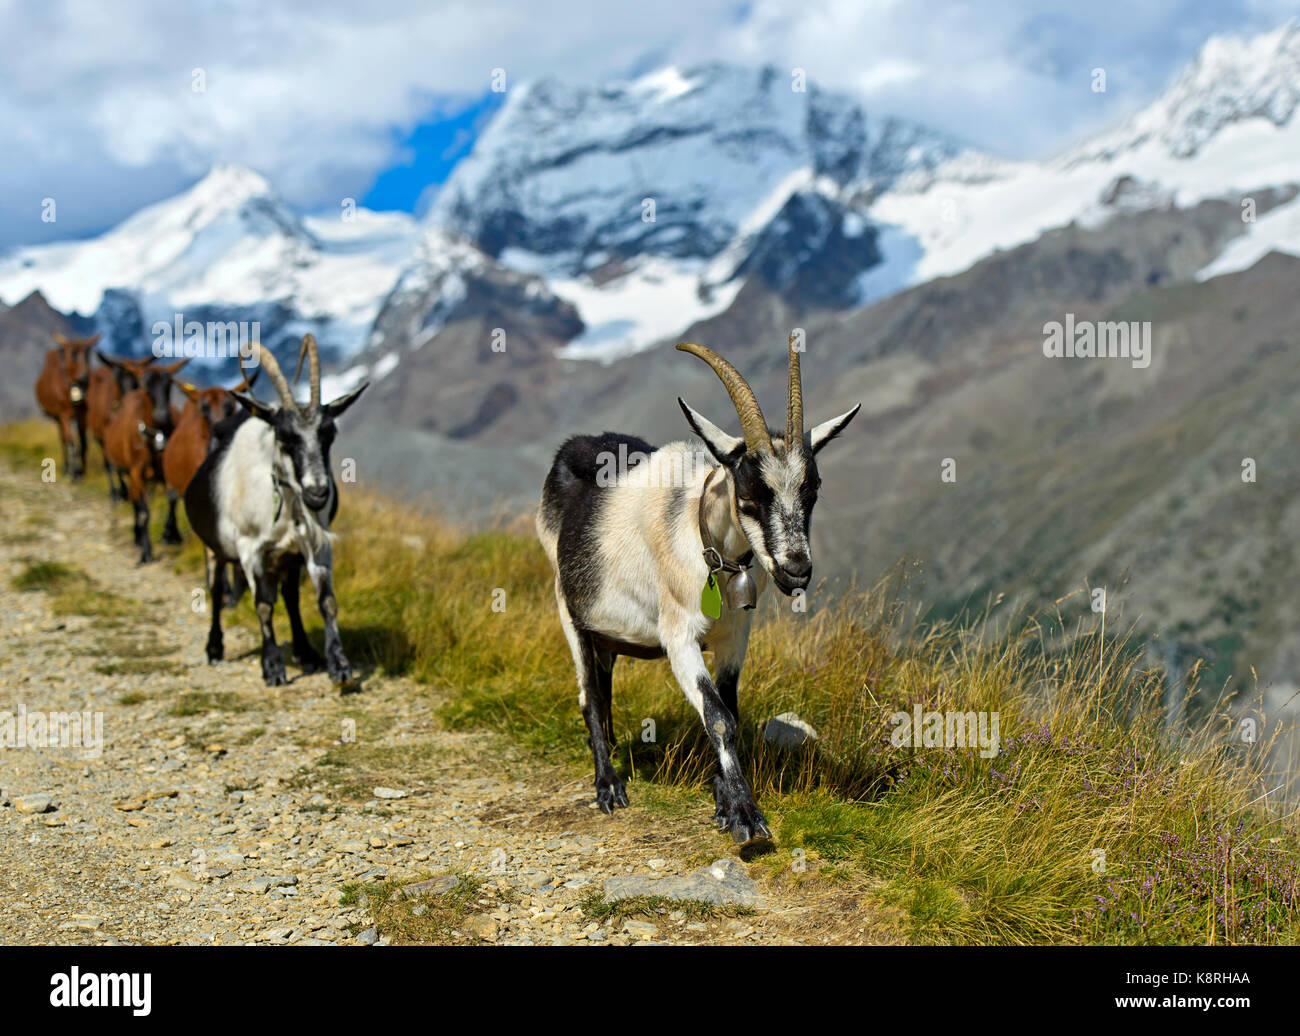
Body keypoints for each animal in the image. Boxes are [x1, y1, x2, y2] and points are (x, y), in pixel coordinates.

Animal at [34, 332, 100, 479]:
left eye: (87, 354)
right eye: (73, 354)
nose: (84, 377)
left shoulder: (82, 415)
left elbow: (84, 443)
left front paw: (82, 471)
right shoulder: (63, 414)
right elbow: (70, 443)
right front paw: (74, 474)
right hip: (58, 417)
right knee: (63, 440)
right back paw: (66, 469)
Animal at [87, 350, 153, 502]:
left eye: (136, 381)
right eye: (117, 380)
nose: (130, 399)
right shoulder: (107, 436)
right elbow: (112, 465)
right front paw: (119, 493)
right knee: (109, 463)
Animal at [102, 356, 189, 563]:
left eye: (169, 385)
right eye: (145, 385)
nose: (162, 415)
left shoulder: (166, 471)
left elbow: (172, 500)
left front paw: (171, 535)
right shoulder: (136, 471)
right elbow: (143, 511)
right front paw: (146, 551)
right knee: (135, 502)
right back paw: (137, 538)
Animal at [183, 335, 367, 687]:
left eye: (329, 433)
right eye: (284, 436)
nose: (317, 492)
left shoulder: (315, 545)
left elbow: (327, 601)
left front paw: (339, 666)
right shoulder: (249, 549)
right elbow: (264, 606)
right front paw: (272, 668)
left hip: (288, 556)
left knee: (291, 597)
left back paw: (305, 652)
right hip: (213, 547)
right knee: (216, 589)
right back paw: (214, 648)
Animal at [537, 337, 860, 843]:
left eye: (812, 491)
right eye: (749, 495)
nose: (796, 569)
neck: (702, 534)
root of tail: (573, 448)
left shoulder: (734, 637)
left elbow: (731, 713)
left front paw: (724, 802)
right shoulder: (679, 637)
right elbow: (719, 718)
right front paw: (746, 817)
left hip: (606, 633)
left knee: (603, 688)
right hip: (569, 610)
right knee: (589, 694)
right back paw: (608, 786)